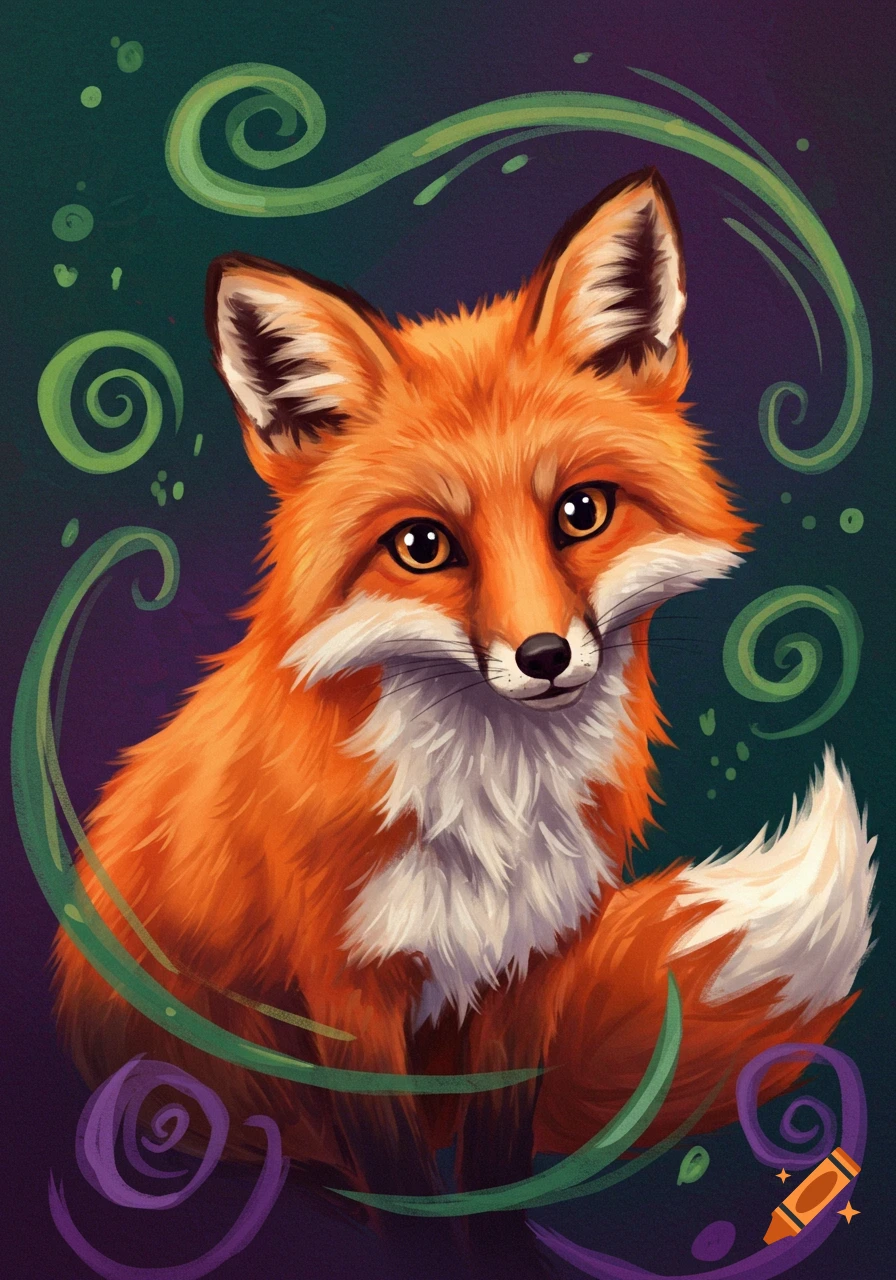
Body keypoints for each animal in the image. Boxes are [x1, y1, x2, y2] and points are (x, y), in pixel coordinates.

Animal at [53, 168, 875, 1255]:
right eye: (422, 545)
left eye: (580, 511)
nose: (544, 658)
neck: (494, 806)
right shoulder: (345, 1000)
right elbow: (406, 1182)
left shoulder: (534, 970)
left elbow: (496, 1166)